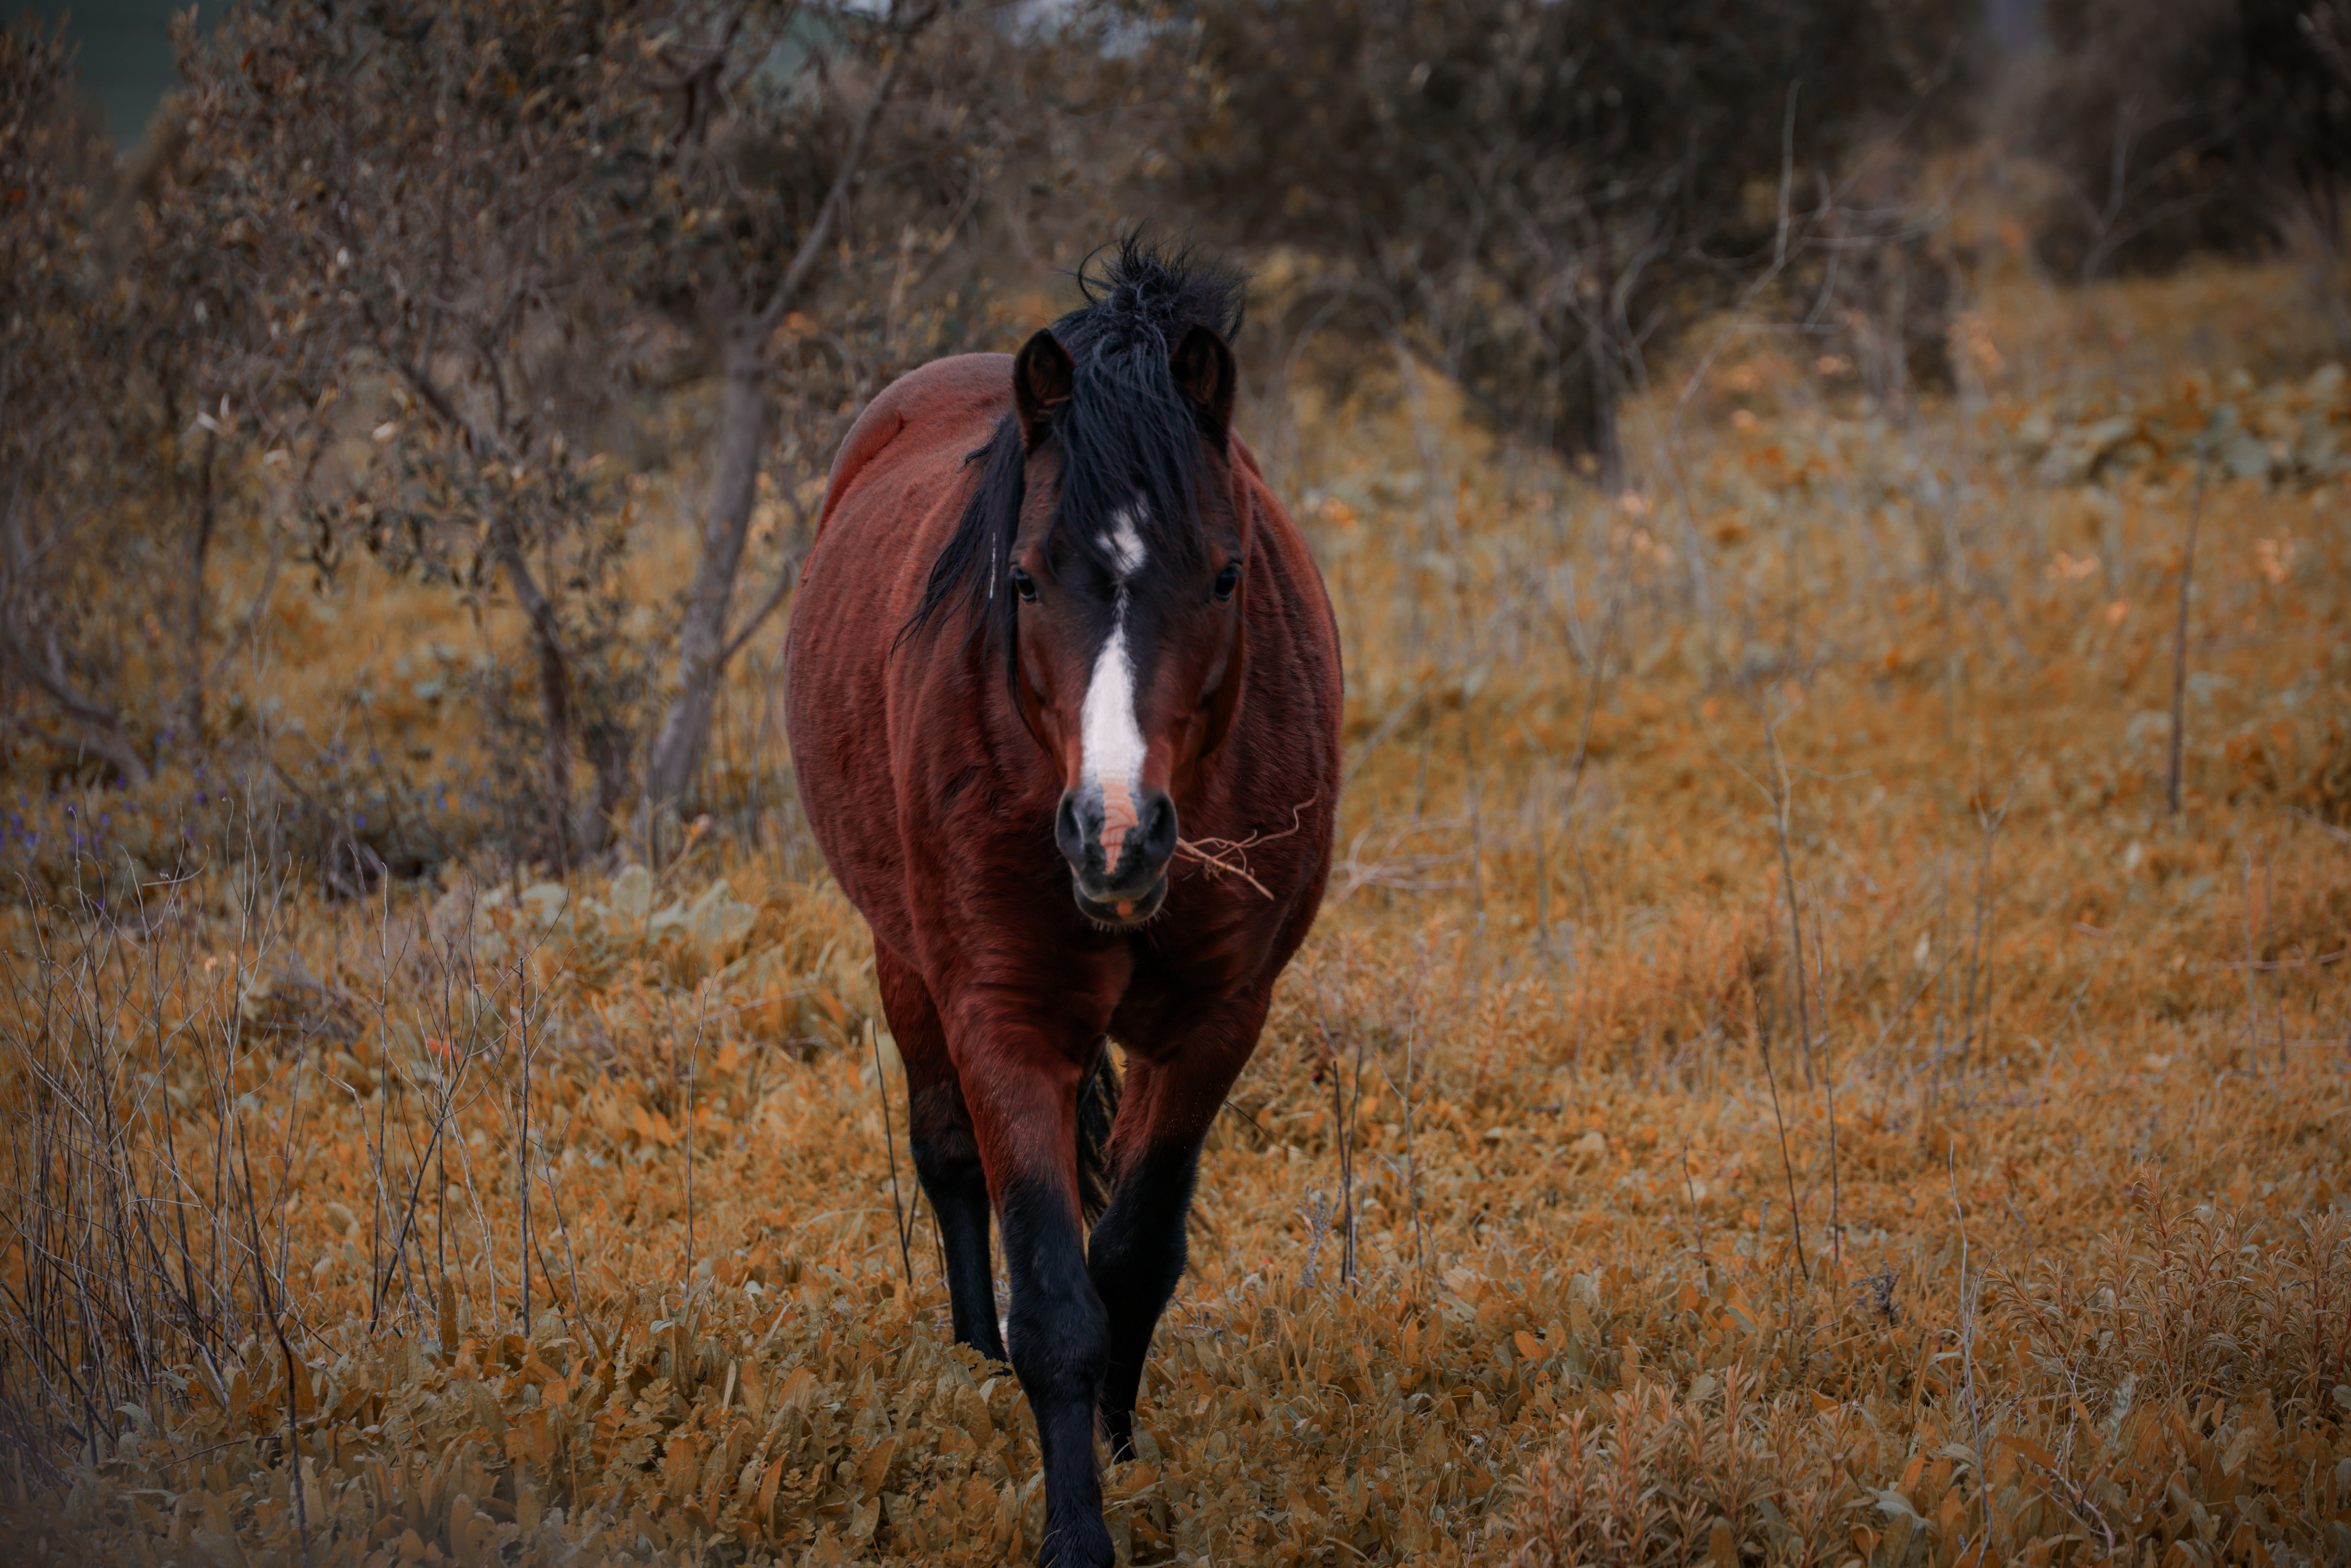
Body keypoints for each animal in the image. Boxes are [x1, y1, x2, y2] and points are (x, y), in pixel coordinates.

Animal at [784, 239, 1342, 1566]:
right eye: (1026, 581)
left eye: (1226, 574)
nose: (1114, 833)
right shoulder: (1004, 1015)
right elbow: (1051, 1297)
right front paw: (1075, 1529)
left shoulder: (1214, 1020)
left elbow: (1129, 1260)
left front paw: (1125, 1456)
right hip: (902, 961)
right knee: (945, 1160)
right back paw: (968, 1366)